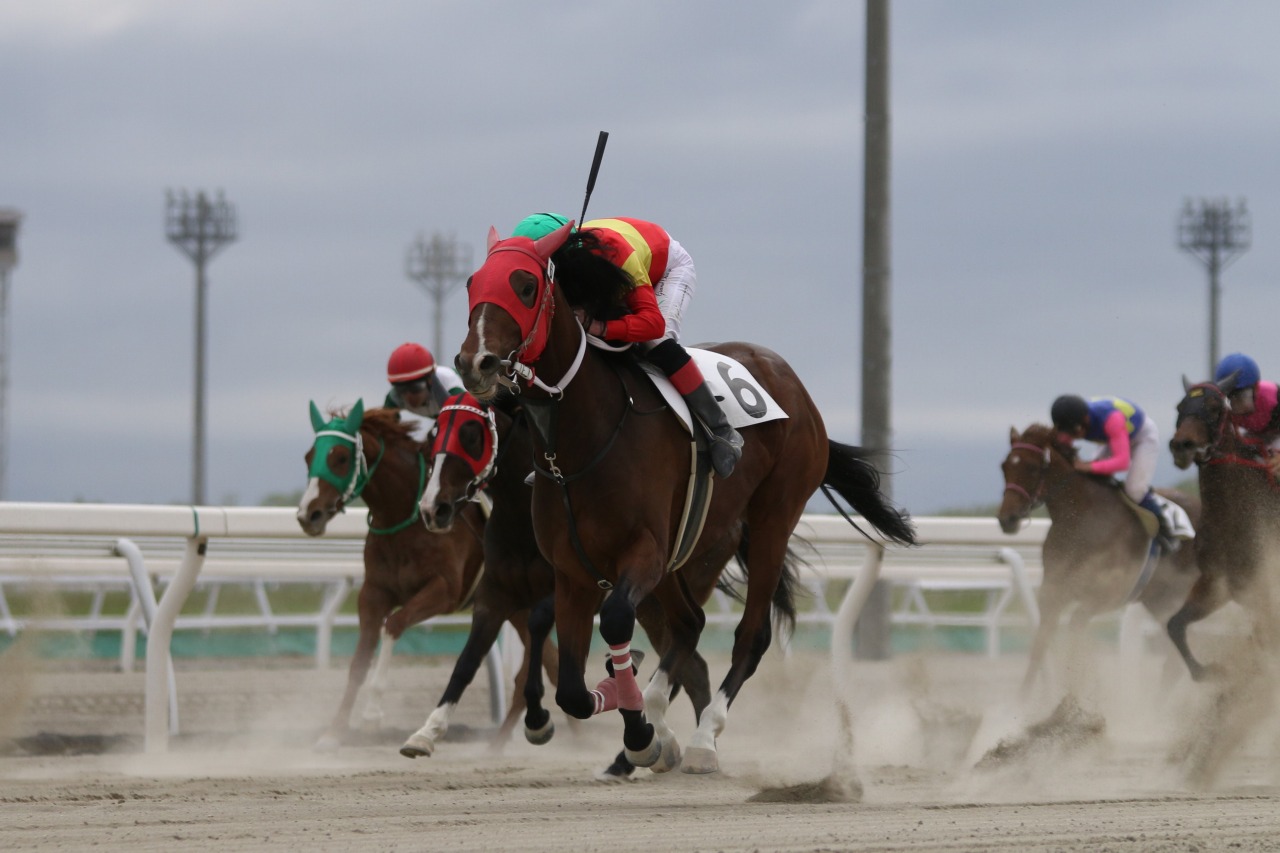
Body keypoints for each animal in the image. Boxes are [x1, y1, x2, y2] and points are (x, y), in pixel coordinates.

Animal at [297, 400, 487, 748]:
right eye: (308, 456)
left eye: (341, 458)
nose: (308, 514)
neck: (403, 517)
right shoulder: (374, 592)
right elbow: (359, 660)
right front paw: (335, 731)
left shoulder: (445, 590)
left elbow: (393, 624)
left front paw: (372, 715)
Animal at [448, 223, 915, 774]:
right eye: (472, 283)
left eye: (524, 285)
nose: (475, 363)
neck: (583, 439)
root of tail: (791, 381)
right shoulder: (573, 571)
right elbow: (572, 690)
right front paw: (627, 715)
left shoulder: (642, 552)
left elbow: (616, 623)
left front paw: (639, 731)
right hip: (682, 551)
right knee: (689, 625)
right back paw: (657, 722)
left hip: (771, 520)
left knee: (749, 636)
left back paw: (701, 739)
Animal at [998, 423, 1201, 694]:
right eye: (1005, 466)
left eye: (1031, 467)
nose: (1007, 519)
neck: (1080, 520)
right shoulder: (1054, 593)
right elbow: (1041, 645)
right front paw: (1021, 703)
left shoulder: (1106, 594)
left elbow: (1075, 633)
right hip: (1162, 600)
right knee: (1177, 658)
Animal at [1167, 380, 1280, 681]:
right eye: (1180, 406)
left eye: (1214, 407)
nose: (1182, 445)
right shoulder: (1219, 583)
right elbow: (1174, 625)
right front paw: (1209, 673)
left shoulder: (1262, 587)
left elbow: (1267, 637)